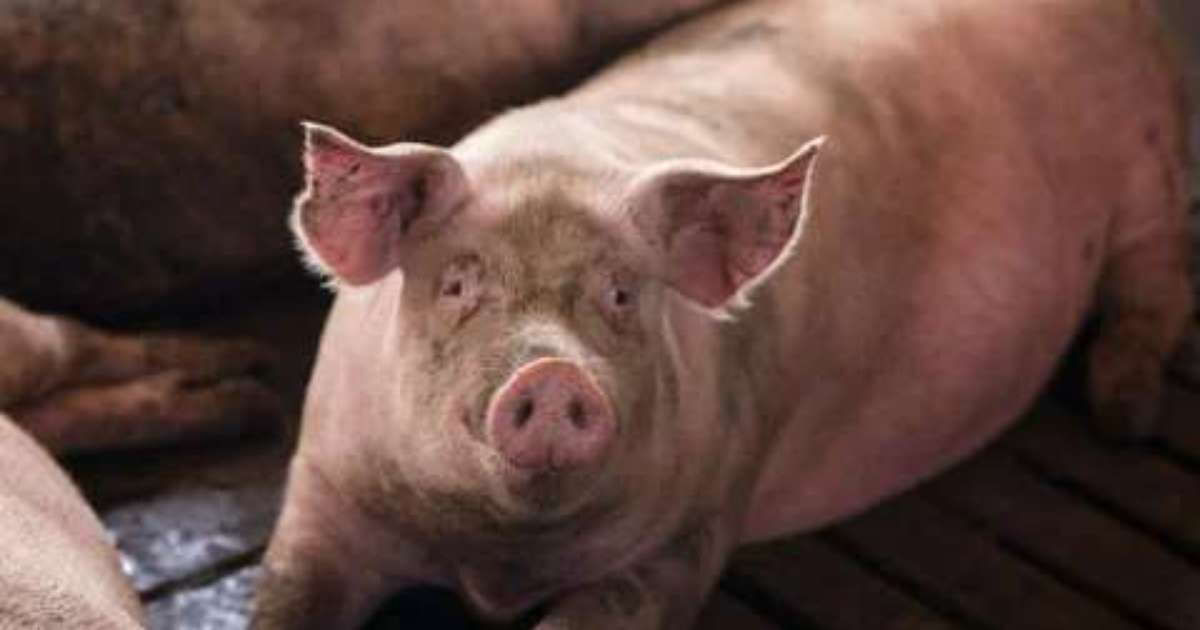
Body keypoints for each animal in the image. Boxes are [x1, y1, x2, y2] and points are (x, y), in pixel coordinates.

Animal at [255, 0, 1198, 627]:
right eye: (457, 285)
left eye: (622, 294)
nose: (552, 373)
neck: (499, 562)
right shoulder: (320, 489)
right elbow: (287, 593)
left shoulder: (695, 527)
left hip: (1150, 162)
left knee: (1156, 284)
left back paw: (1124, 420)